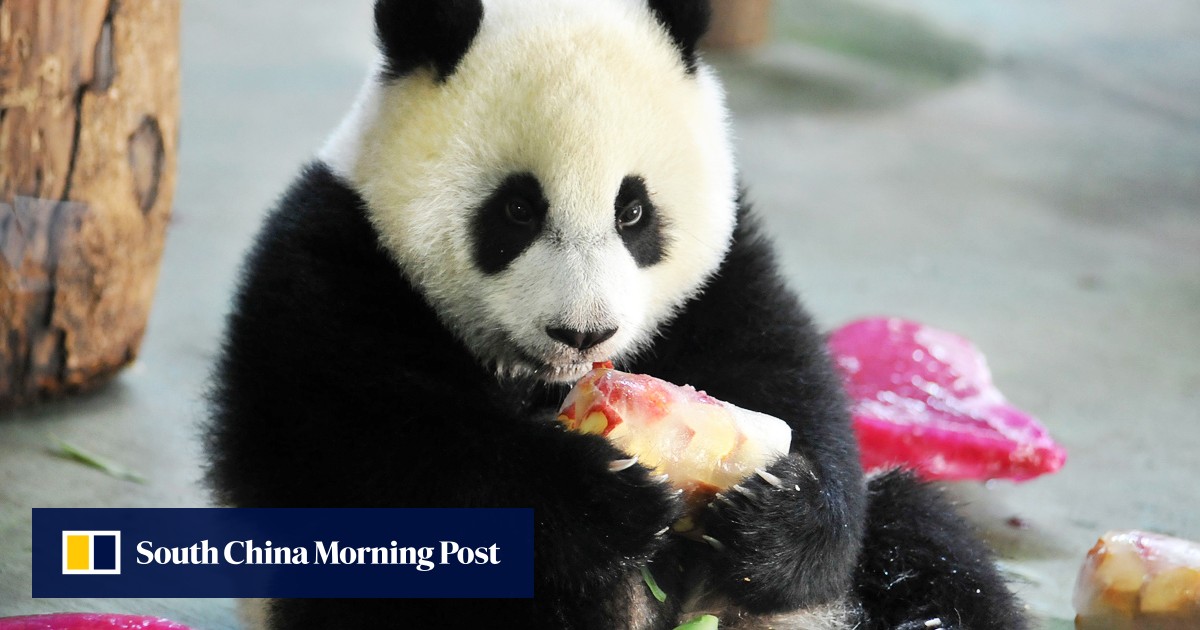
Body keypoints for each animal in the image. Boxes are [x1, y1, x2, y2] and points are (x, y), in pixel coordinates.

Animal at [208, 1, 1030, 628]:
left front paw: (772, 512)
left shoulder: (724, 273)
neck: (546, 378)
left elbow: (792, 379)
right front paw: (605, 499)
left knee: (923, 538)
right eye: (517, 210)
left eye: (633, 212)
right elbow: (376, 457)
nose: (583, 333)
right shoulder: (333, 270)